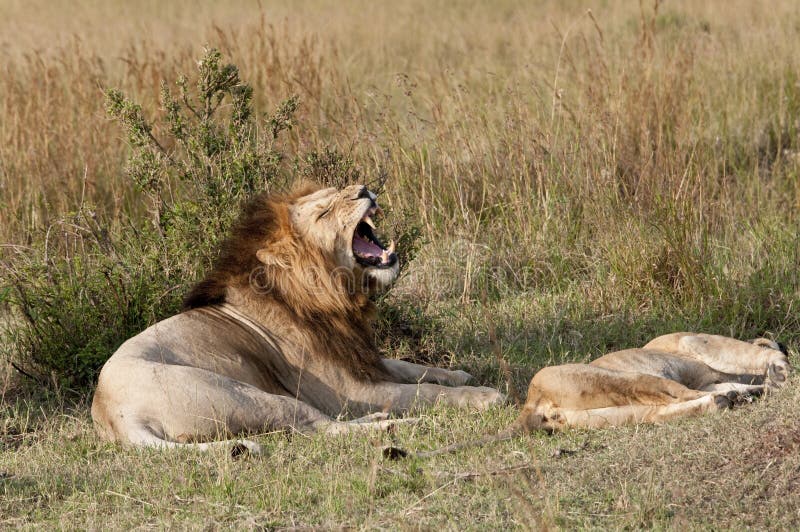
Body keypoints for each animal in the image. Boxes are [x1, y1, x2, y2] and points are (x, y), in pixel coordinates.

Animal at [91, 184, 504, 452]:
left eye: (341, 189)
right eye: (324, 211)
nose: (364, 189)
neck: (332, 295)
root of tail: (113, 413)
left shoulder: (362, 357)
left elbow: (412, 368)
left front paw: (460, 374)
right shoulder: (353, 390)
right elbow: (422, 392)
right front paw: (484, 395)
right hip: (250, 395)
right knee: (319, 426)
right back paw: (391, 425)